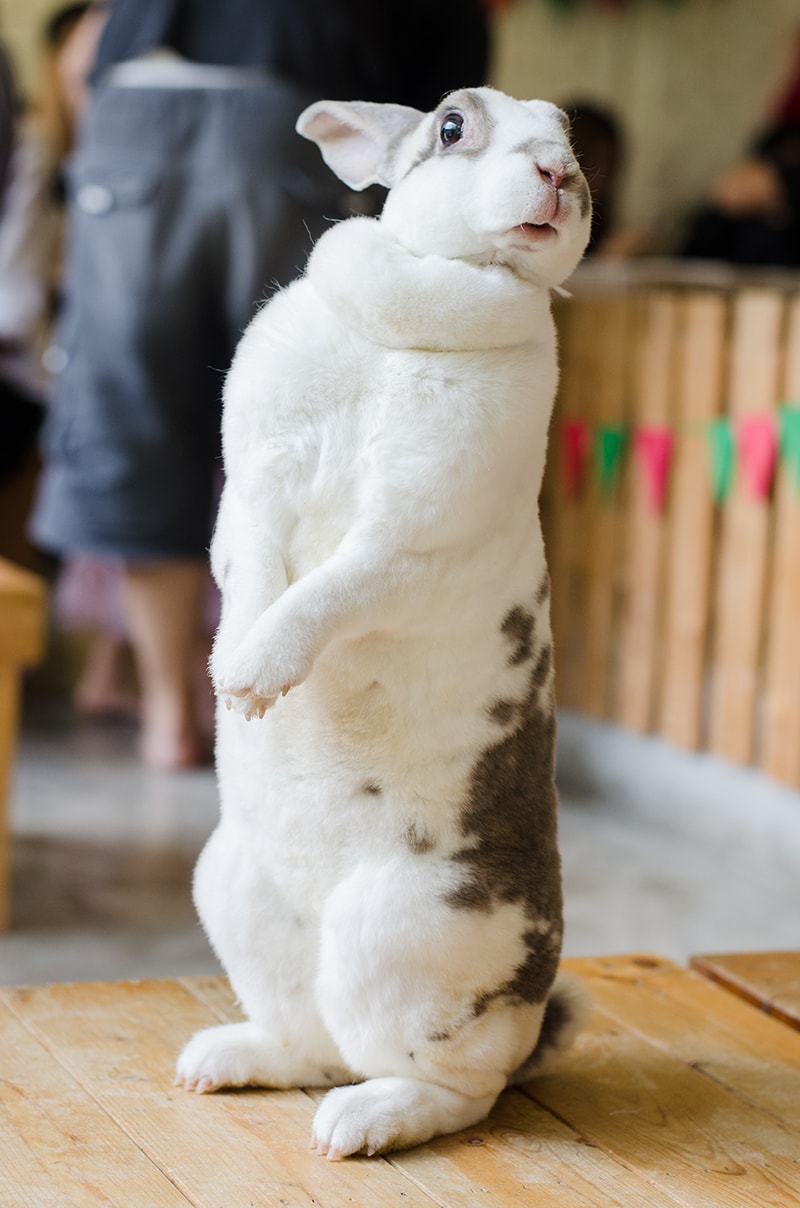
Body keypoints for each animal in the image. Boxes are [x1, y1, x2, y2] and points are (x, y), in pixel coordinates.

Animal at [175, 85, 592, 1160]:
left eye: (568, 136)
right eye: (451, 127)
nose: (558, 178)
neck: (412, 323)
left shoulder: (409, 544)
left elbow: (332, 591)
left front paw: (256, 676)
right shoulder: (256, 494)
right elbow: (254, 568)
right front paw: (234, 672)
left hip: (402, 935)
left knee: (456, 1091)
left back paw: (362, 1125)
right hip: (235, 893)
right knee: (309, 1043)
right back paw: (221, 1062)